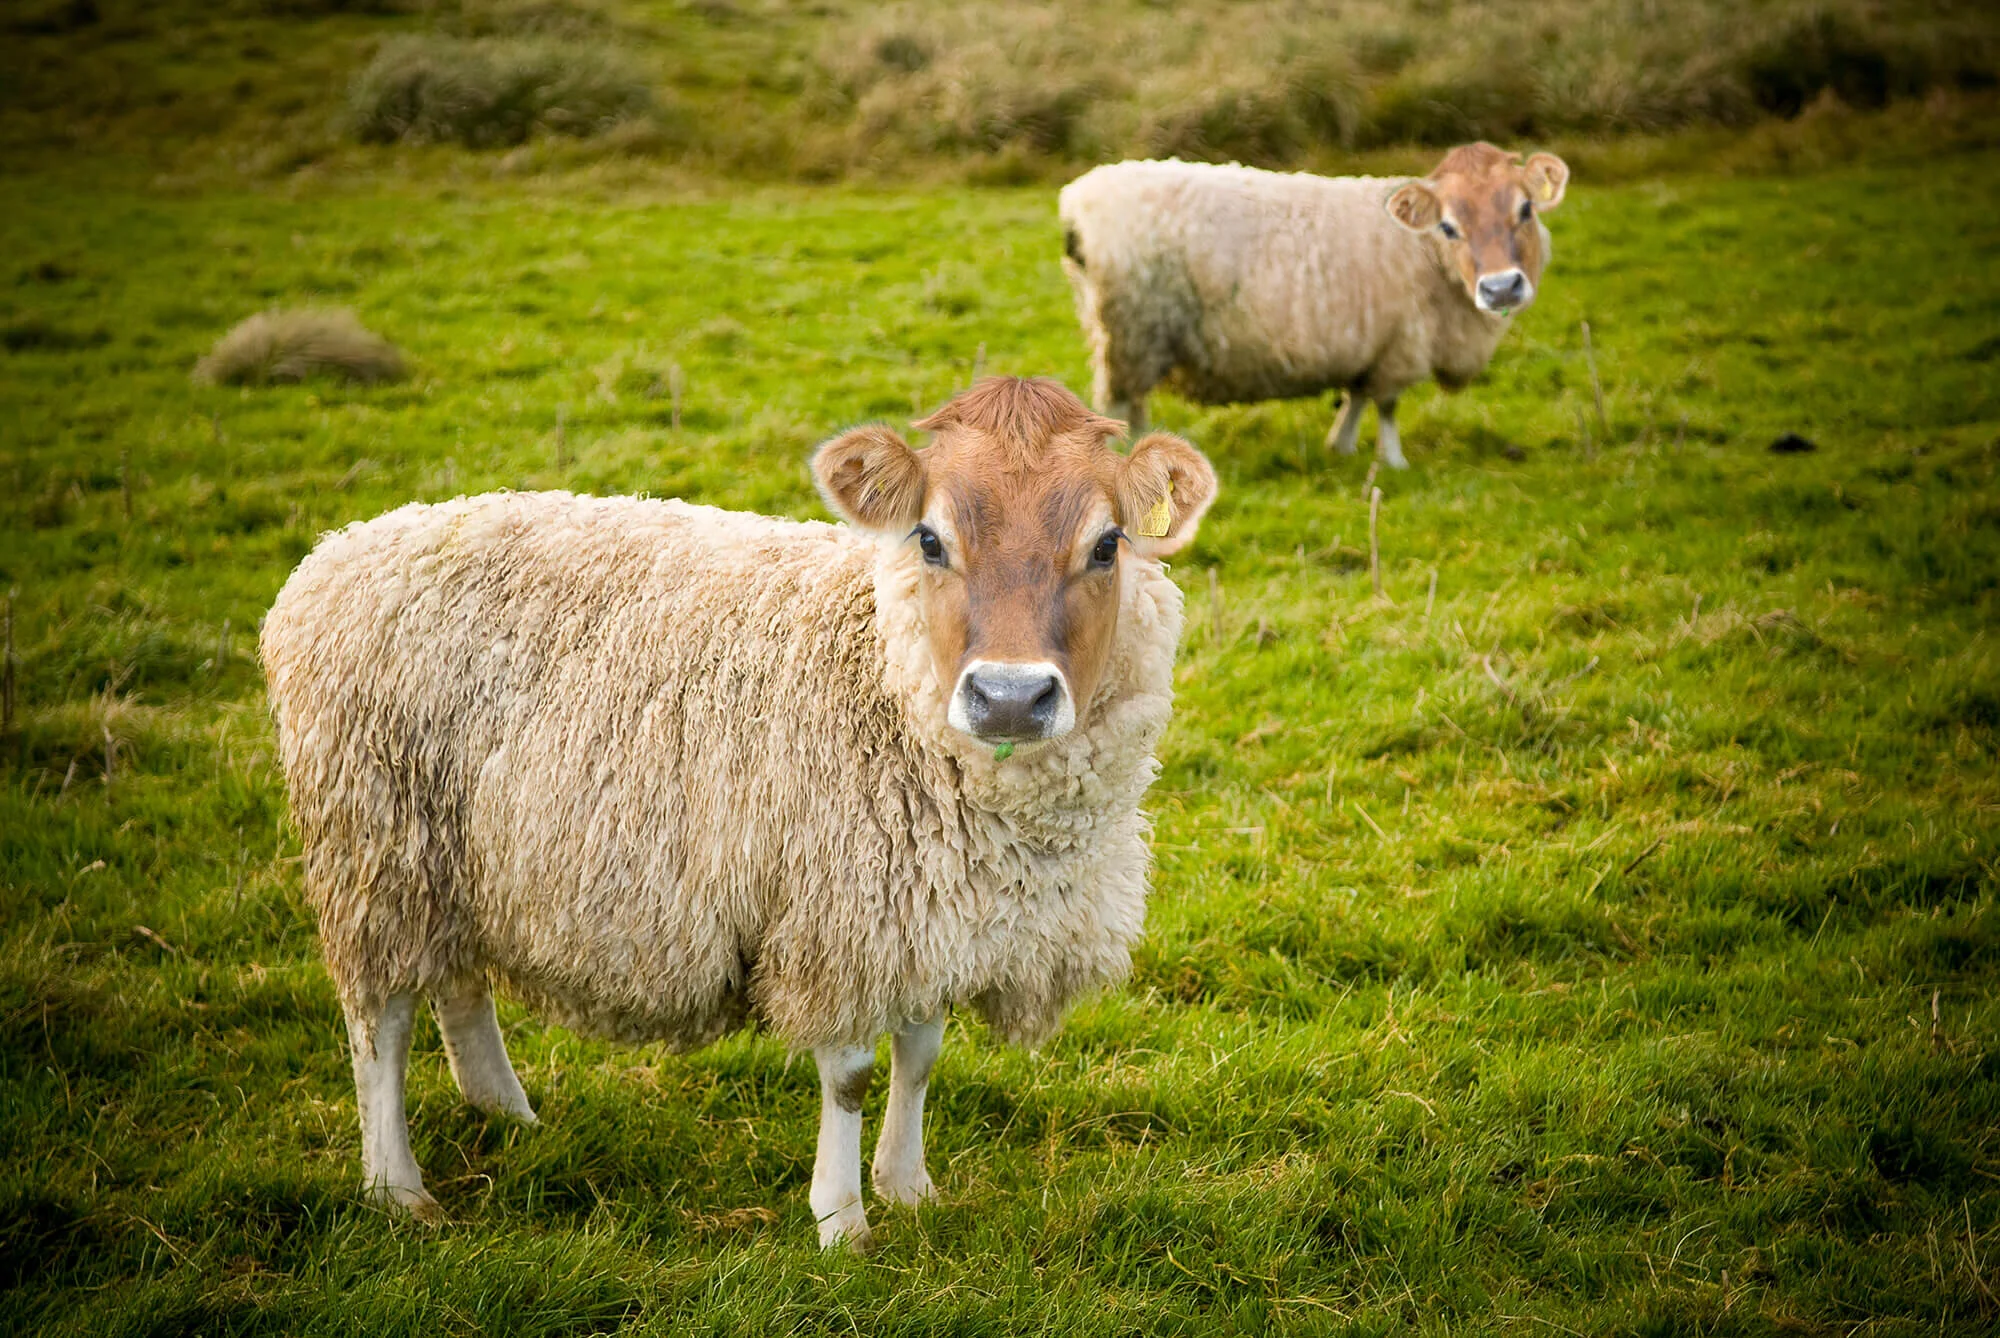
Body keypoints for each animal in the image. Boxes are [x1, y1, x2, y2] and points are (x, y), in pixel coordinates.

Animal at [260, 376, 1218, 1250]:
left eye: (1107, 545)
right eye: (930, 538)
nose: (1010, 699)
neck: (879, 665)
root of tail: (342, 549)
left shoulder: (926, 910)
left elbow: (921, 1053)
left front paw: (908, 1187)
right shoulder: (838, 914)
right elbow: (852, 1077)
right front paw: (842, 1220)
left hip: (456, 852)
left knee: (458, 984)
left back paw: (504, 1111)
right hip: (375, 840)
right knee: (379, 1021)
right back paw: (395, 1185)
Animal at [1059, 142, 1571, 468]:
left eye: (1525, 210)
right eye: (1448, 226)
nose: (1501, 288)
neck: (1427, 253)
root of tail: (1077, 201)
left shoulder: (1370, 344)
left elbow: (1357, 396)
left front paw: (1341, 446)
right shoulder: (1402, 342)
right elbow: (1387, 405)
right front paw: (1394, 461)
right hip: (1131, 330)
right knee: (1122, 401)